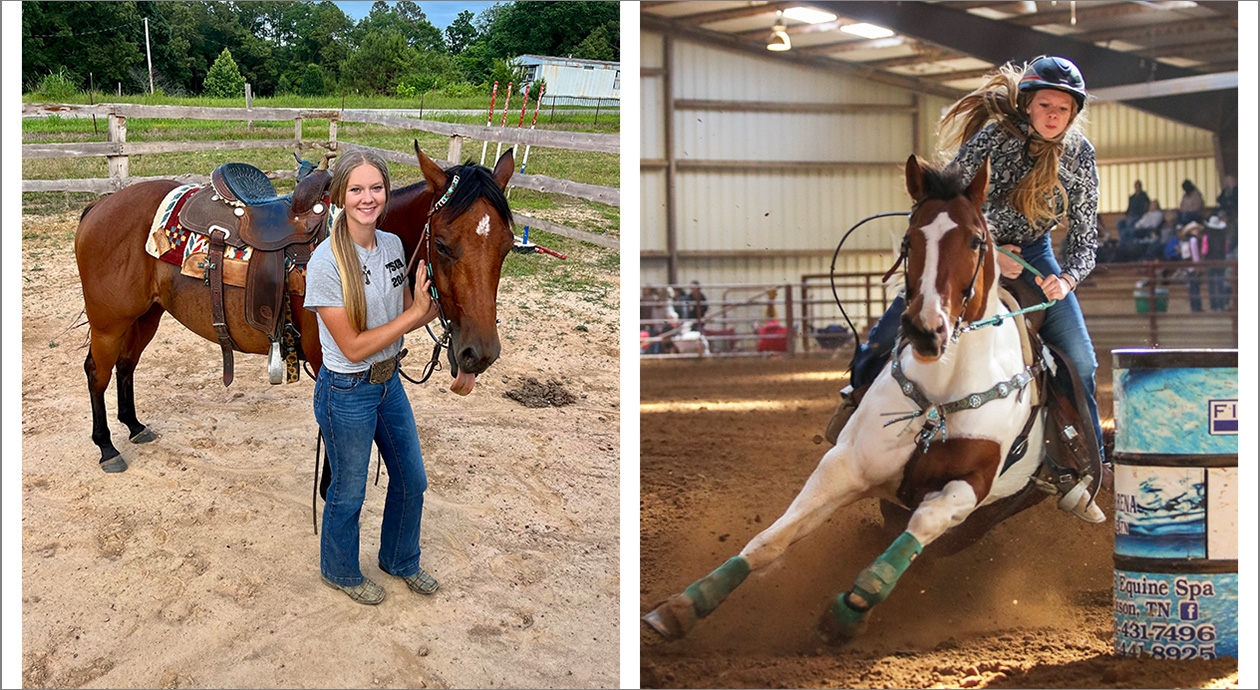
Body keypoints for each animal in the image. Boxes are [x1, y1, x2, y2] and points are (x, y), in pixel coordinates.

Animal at [75, 144, 516, 473]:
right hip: (110, 321)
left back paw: (134, 426)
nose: (479, 353)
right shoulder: (328, 364)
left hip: (146, 315)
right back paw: (107, 447)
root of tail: (101, 205)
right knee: (98, 371)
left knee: (126, 365)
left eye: (508, 246)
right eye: (440, 244)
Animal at [643, 154, 1071, 645]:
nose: (926, 330)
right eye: (909, 239)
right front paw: (686, 604)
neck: (943, 388)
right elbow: (775, 536)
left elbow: (922, 526)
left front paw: (851, 607)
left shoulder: (969, 485)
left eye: (976, 239)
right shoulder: (845, 465)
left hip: (989, 516)